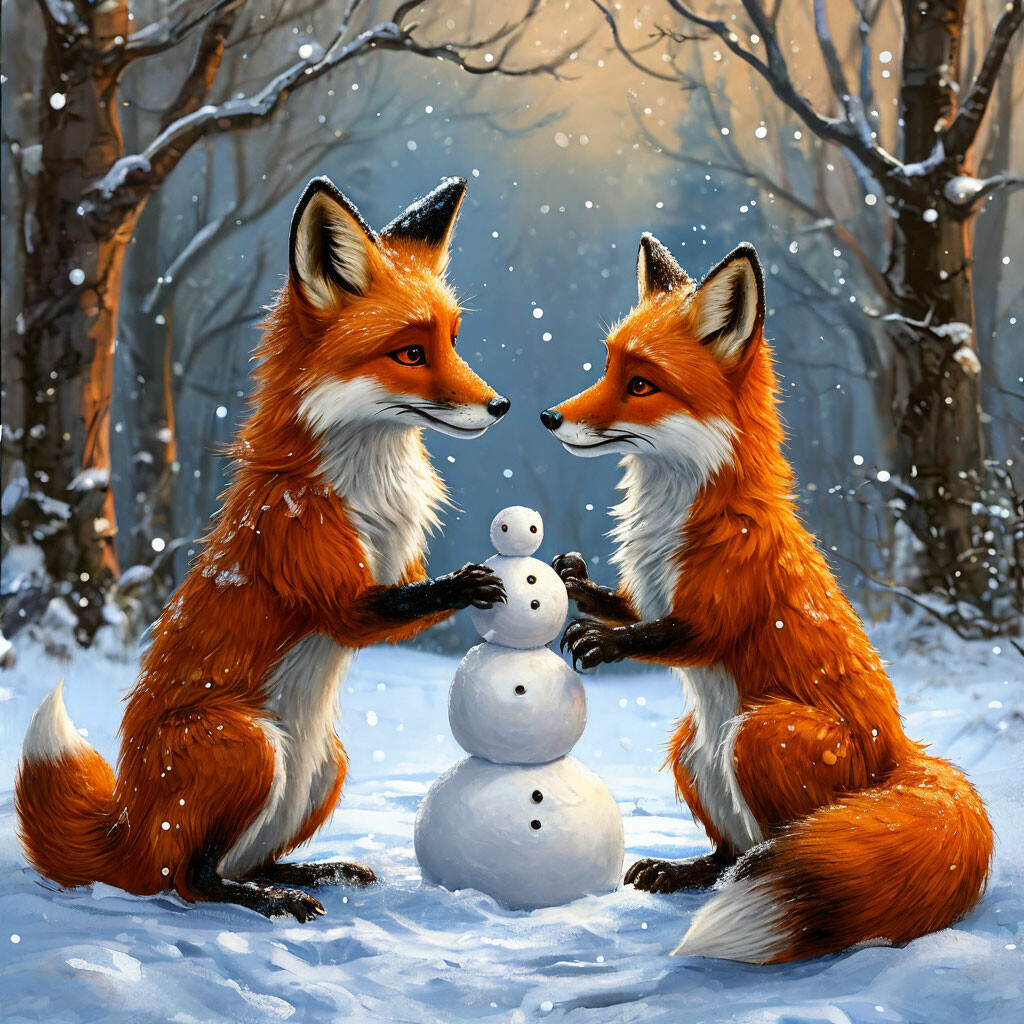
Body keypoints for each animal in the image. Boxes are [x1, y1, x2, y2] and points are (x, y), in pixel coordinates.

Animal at [15, 175, 509, 921]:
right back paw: (271, 901)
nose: (500, 405)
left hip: (326, 766)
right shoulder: (318, 573)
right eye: (410, 354)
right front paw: (474, 580)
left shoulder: (394, 572)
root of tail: (129, 829)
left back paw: (315, 871)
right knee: (193, 879)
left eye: (453, 341)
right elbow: (385, 605)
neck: (367, 490)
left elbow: (411, 606)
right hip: (246, 744)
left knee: (249, 858)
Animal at [539, 234, 993, 963]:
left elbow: (670, 634)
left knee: (778, 841)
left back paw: (769, 871)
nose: (550, 417)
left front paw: (604, 642)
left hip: (762, 734)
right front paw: (576, 582)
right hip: (690, 749)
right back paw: (688, 871)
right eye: (608, 367)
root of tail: (899, 754)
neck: (679, 519)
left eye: (641, 384)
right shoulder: (654, 595)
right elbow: (631, 607)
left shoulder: (721, 611)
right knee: (727, 851)